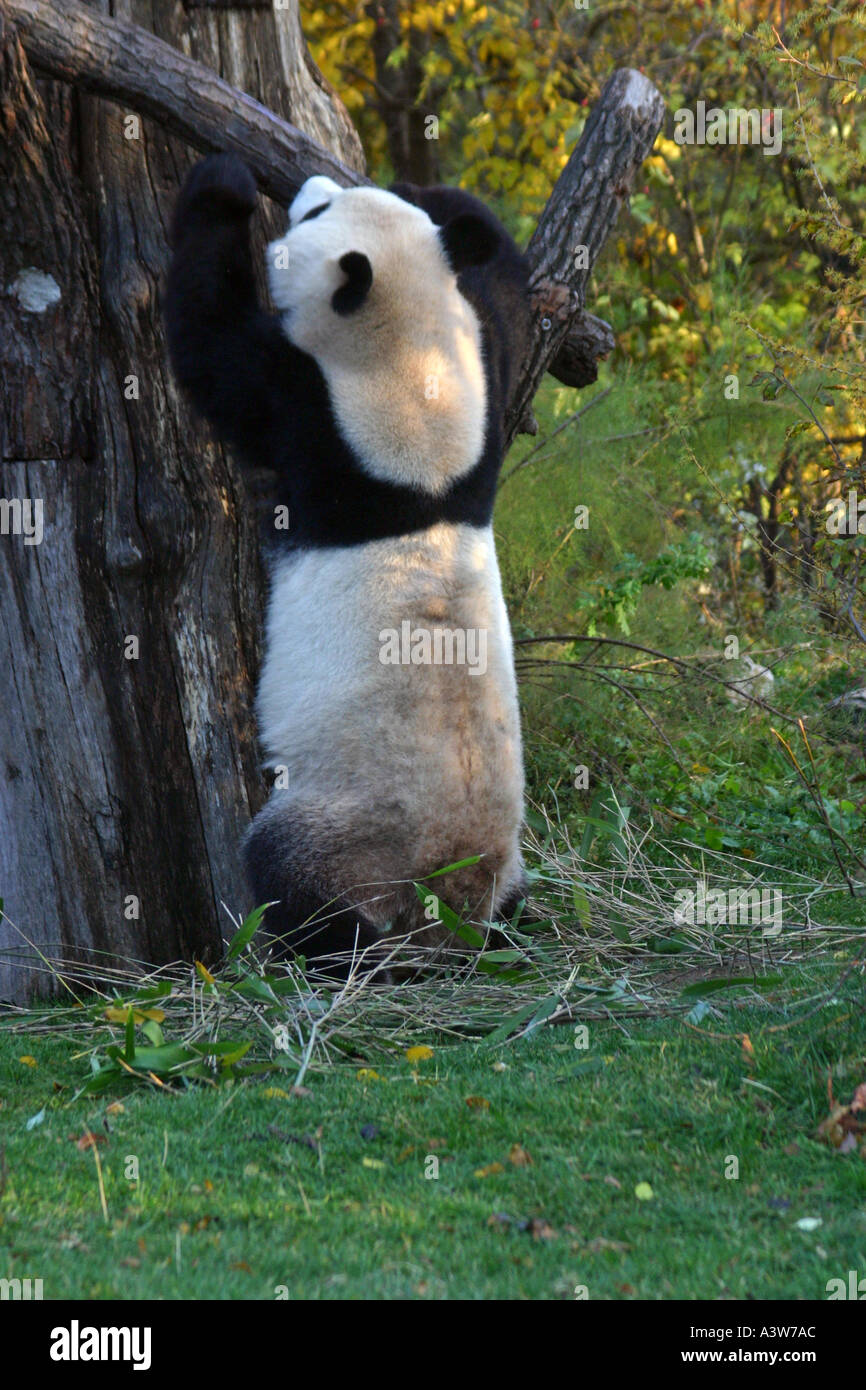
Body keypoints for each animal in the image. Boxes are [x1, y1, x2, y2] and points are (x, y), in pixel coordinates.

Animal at [165, 154, 532, 977]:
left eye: (313, 217)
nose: (307, 187)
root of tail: (447, 901)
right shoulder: (481, 394)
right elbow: (504, 290)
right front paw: (438, 195)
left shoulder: (314, 413)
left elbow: (212, 348)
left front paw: (224, 187)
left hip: (347, 828)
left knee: (286, 869)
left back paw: (332, 951)